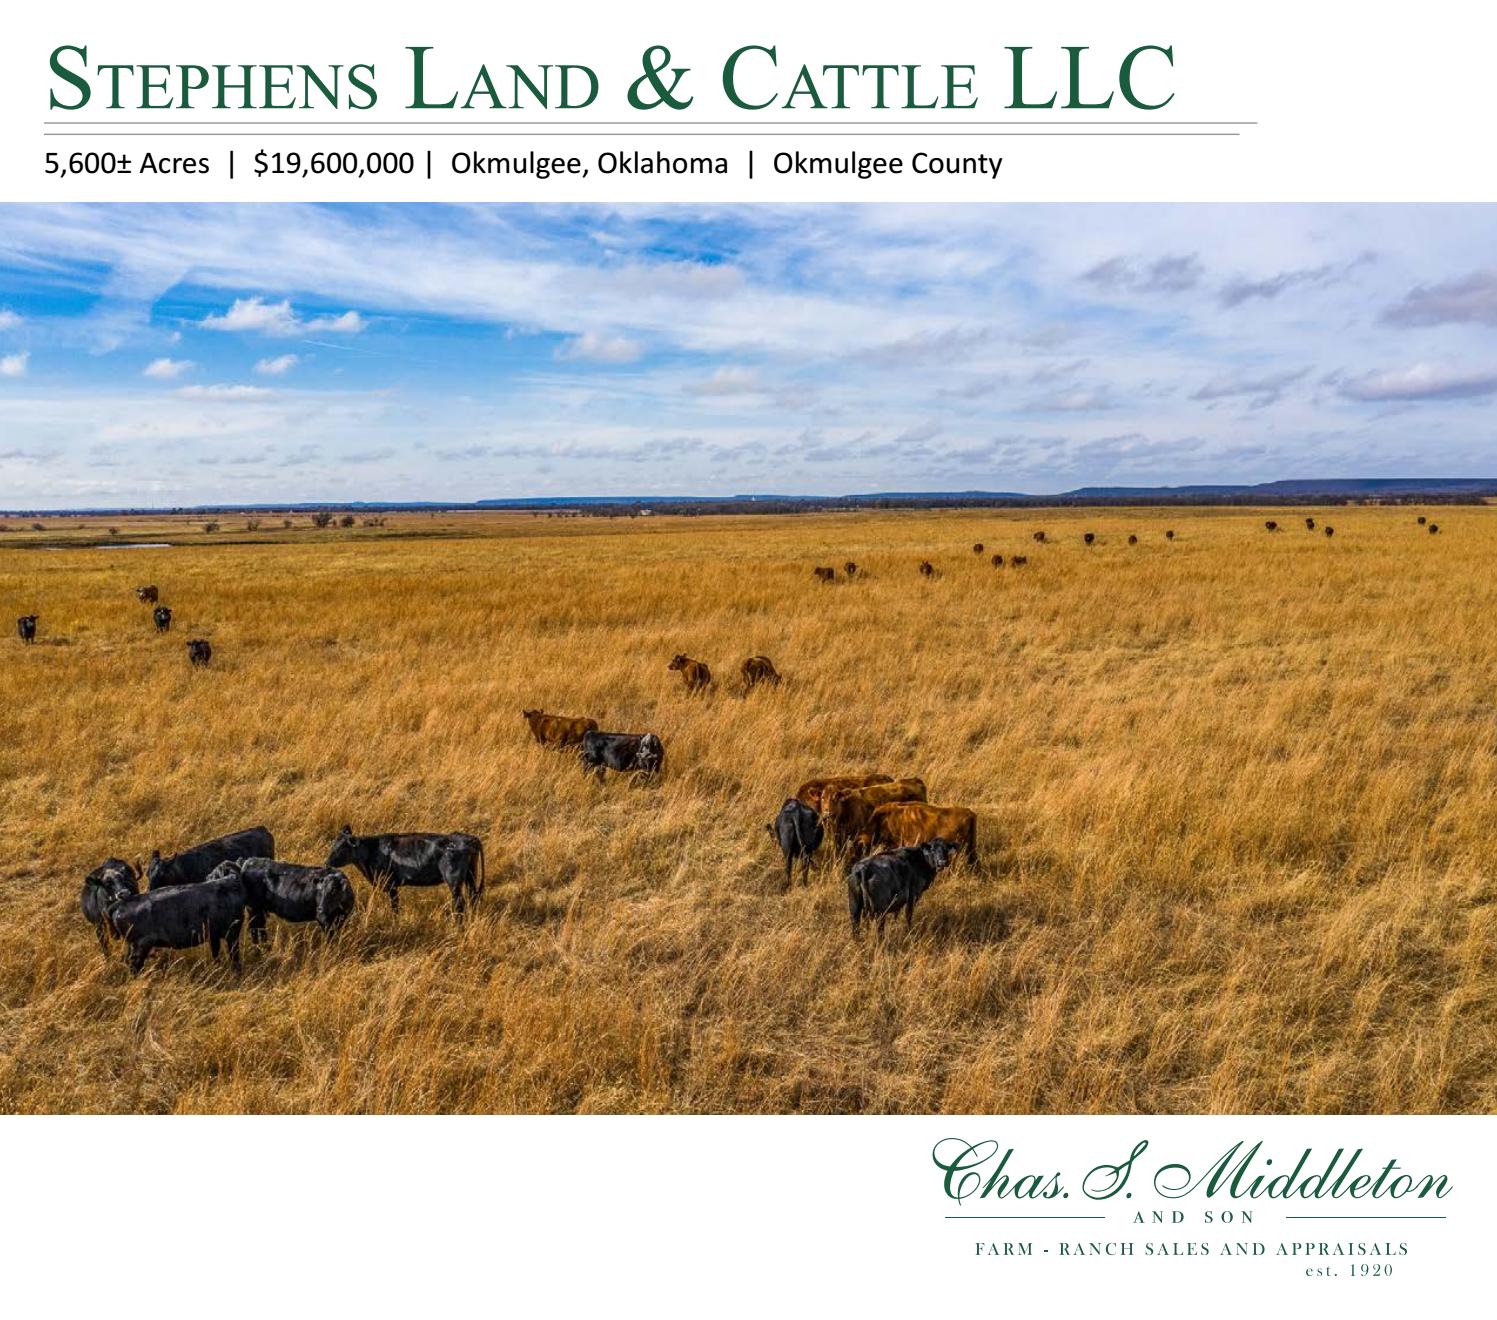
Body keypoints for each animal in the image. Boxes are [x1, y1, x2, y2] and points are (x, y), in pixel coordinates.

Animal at [107, 871, 250, 974]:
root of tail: (119, 904)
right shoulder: (232, 933)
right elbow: (234, 956)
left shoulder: (214, 936)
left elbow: (216, 954)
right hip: (140, 946)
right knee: (134, 965)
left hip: (131, 945)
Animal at [213, 857, 356, 940]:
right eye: (320, 890)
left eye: (333, 891)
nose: (320, 908)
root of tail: (244, 862)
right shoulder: (324, 920)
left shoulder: (340, 919)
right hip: (254, 909)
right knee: (255, 929)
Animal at [326, 826, 485, 916]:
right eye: (334, 845)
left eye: (342, 848)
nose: (327, 862)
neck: (372, 850)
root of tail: (470, 839)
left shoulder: (391, 885)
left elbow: (395, 907)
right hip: (471, 875)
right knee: (473, 897)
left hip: (454, 881)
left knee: (459, 903)